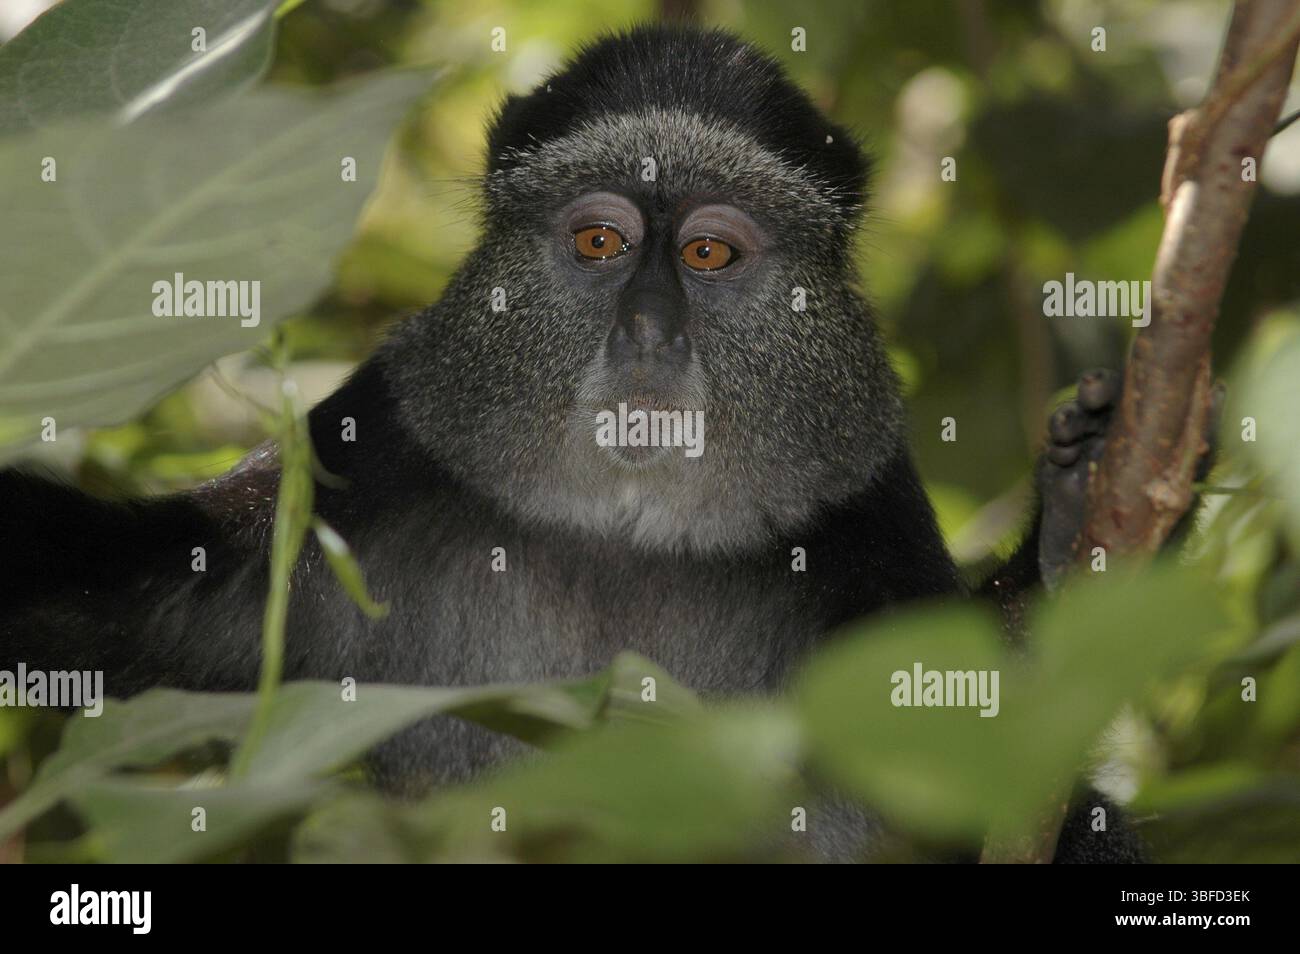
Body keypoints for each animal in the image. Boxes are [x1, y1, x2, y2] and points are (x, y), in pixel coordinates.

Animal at [0, 25, 1145, 862]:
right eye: (601, 241)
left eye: (707, 253)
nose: (647, 327)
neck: (623, 532)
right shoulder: (379, 443)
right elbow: (125, 597)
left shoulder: (863, 501)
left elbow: (960, 720)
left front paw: (1074, 518)